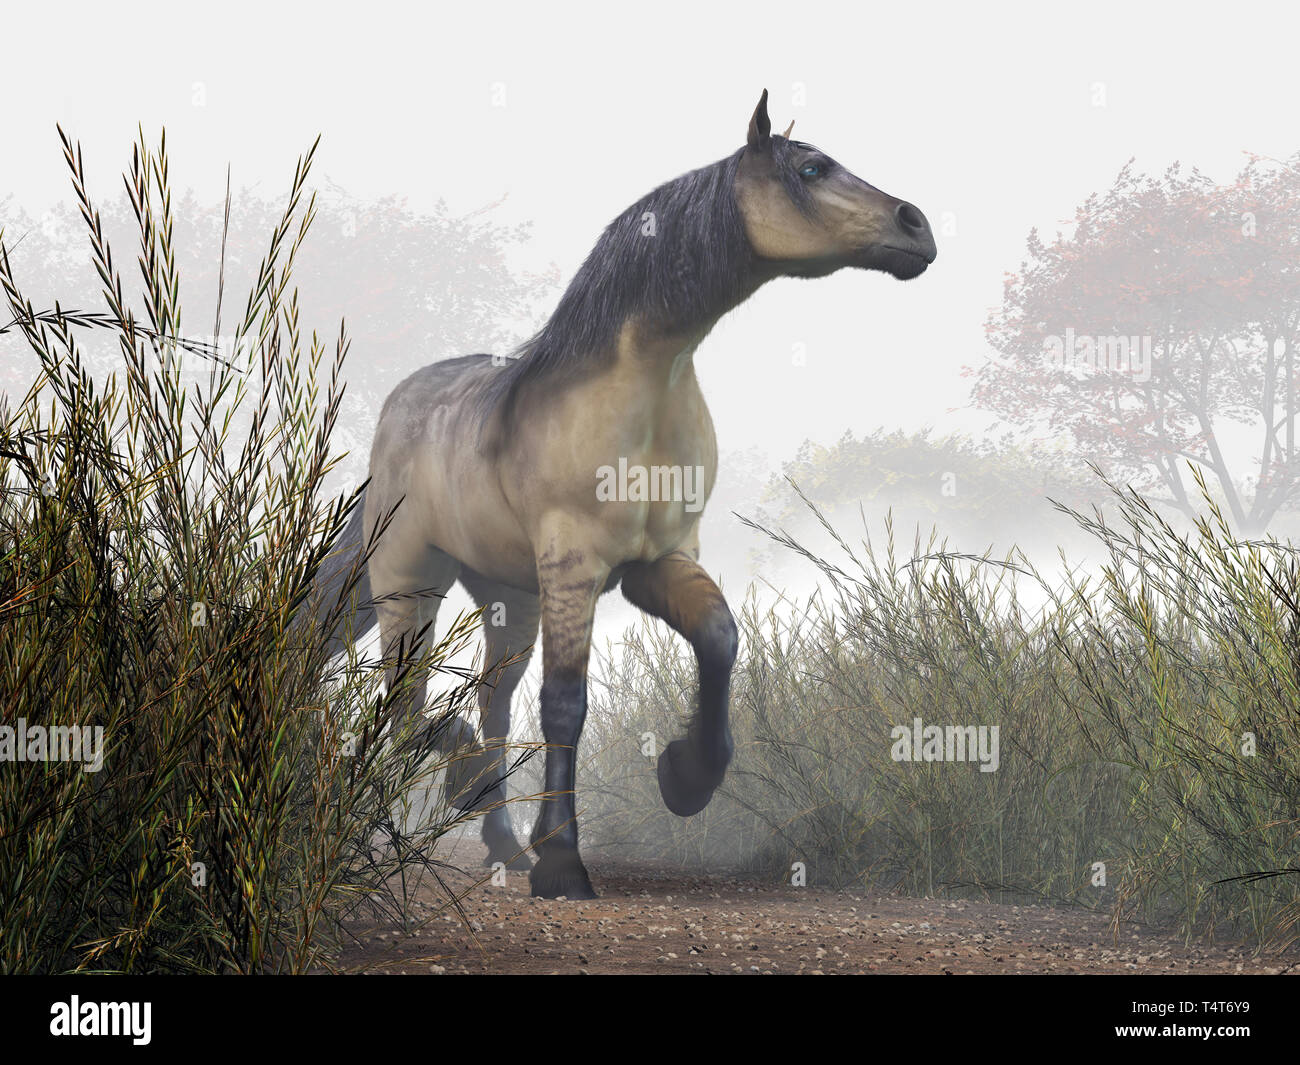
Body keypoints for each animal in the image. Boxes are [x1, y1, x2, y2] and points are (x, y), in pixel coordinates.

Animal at [312, 89, 937, 899]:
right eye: (809, 168)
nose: (916, 226)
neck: (642, 390)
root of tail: (398, 414)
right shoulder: (574, 566)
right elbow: (566, 704)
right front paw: (563, 862)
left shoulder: (659, 562)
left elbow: (719, 638)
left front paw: (685, 778)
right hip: (410, 580)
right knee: (407, 697)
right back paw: (473, 790)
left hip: (509, 594)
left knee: (489, 700)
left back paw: (501, 839)